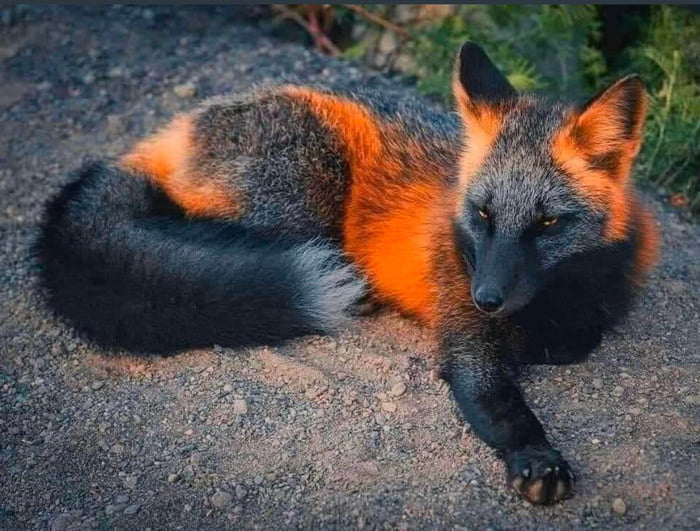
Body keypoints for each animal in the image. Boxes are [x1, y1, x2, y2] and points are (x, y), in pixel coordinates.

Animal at [36, 42, 659, 505]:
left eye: (548, 222)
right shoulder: (464, 337)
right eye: (483, 214)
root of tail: (183, 124)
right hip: (304, 200)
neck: (555, 298)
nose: (486, 297)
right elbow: (502, 405)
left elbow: (580, 337)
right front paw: (536, 456)